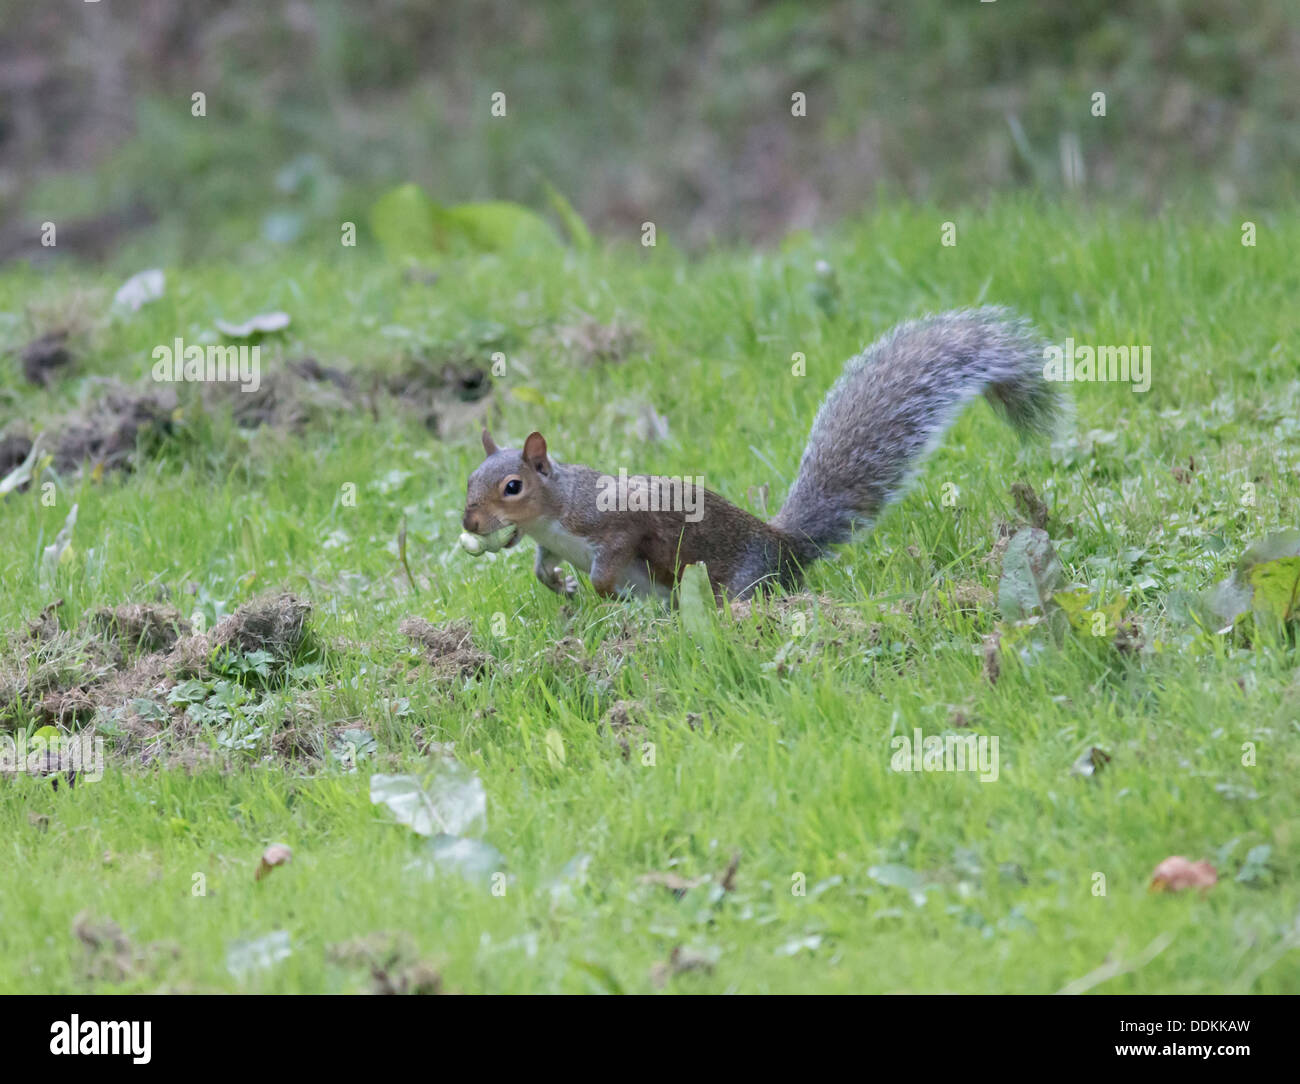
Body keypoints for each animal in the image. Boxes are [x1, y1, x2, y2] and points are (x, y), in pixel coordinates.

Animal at [461, 306, 1062, 601]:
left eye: (512, 486)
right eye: (469, 480)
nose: (469, 522)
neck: (555, 511)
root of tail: (785, 547)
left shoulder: (612, 525)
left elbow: (612, 561)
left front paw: (597, 589)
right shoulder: (551, 542)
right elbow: (542, 566)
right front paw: (558, 585)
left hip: (743, 581)